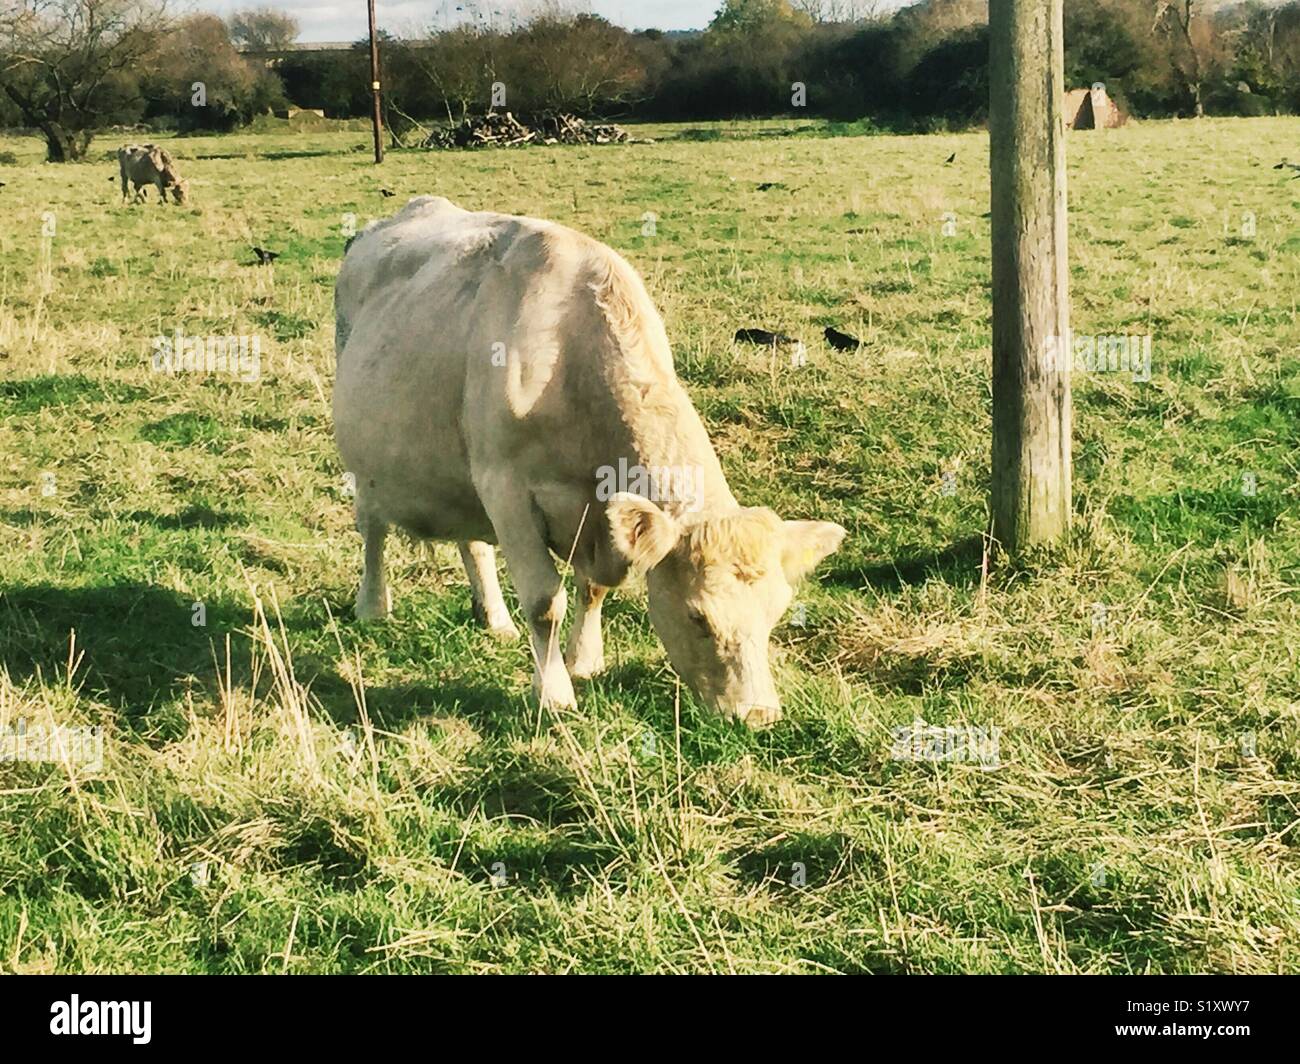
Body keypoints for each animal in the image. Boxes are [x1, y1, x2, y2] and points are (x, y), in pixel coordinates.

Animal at [333, 196, 845, 727]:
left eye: (776, 611)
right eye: (697, 616)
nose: (757, 714)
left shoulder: (596, 515)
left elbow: (594, 588)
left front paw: (585, 661)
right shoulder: (505, 488)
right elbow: (545, 602)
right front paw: (554, 693)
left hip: (459, 468)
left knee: (472, 542)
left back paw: (494, 618)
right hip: (368, 462)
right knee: (373, 530)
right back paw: (373, 605)